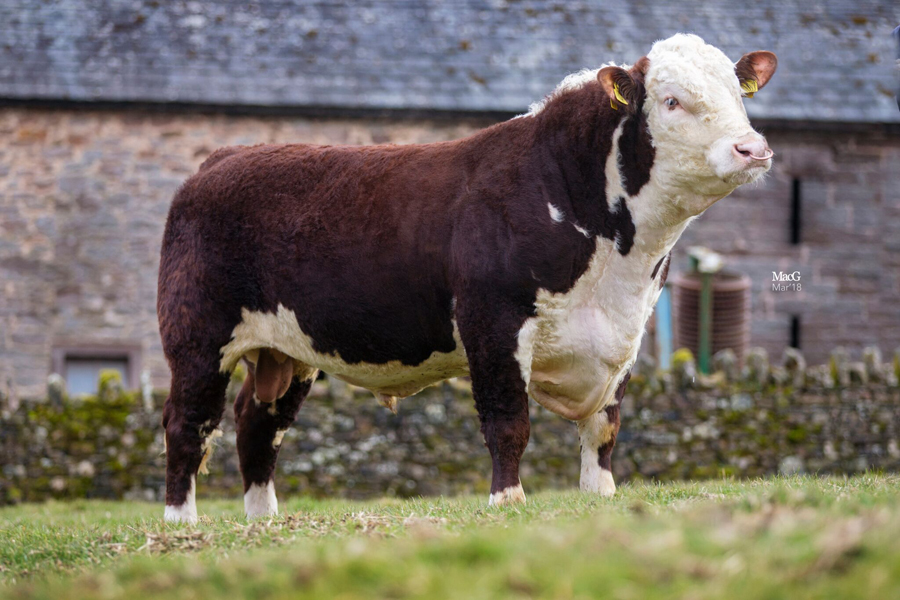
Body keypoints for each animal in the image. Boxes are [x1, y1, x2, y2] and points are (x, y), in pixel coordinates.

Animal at [157, 34, 777, 522]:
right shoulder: (493, 322)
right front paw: (507, 500)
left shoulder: (627, 334)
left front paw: (599, 495)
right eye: (672, 101)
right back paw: (181, 524)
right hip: (197, 337)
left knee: (257, 426)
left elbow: (603, 429)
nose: (752, 148)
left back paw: (262, 521)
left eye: (738, 94)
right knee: (187, 423)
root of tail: (223, 158)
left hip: (287, 352)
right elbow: (507, 421)